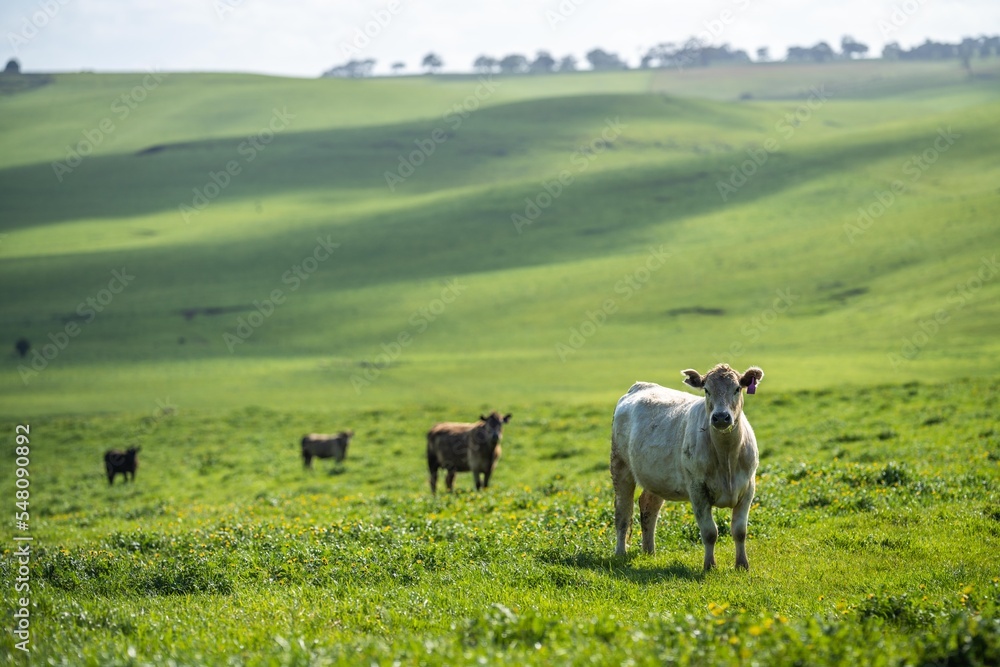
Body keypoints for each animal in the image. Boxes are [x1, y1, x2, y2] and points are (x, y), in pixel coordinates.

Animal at [610, 364, 764, 570]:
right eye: (706, 390)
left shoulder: (748, 487)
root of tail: (639, 386)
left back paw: (649, 552)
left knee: (649, 505)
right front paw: (709, 566)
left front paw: (742, 565)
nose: (720, 417)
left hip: (657, 477)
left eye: (737, 388)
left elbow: (739, 531)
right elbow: (709, 532)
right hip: (620, 465)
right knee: (623, 512)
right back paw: (620, 553)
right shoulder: (697, 489)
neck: (727, 458)